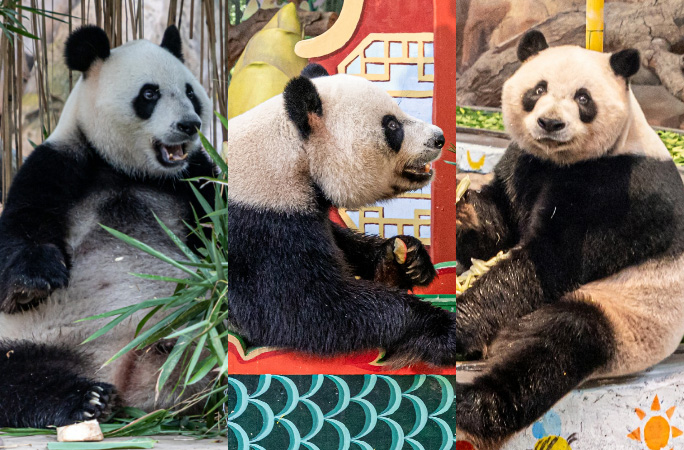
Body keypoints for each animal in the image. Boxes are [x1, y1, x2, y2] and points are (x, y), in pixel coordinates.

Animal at [0, 25, 215, 428]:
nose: (189, 125)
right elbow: (23, 225)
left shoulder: (195, 178)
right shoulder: (61, 162)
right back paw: (86, 399)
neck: (128, 170)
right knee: (15, 374)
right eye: (150, 94)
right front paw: (30, 285)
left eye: (190, 92)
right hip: (36, 339)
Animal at [225, 64, 460, 367]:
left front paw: (409, 259)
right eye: (391, 125)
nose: (439, 138)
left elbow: (342, 241)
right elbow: (307, 312)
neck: (290, 147)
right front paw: (441, 329)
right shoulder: (260, 228)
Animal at [455, 30, 684, 449]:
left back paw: (470, 407)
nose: (550, 123)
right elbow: (498, 224)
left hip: (625, 317)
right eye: (538, 89)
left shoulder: (617, 189)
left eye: (583, 98)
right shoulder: (526, 163)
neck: (560, 159)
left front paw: (461, 318)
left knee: (553, 349)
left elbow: (548, 262)